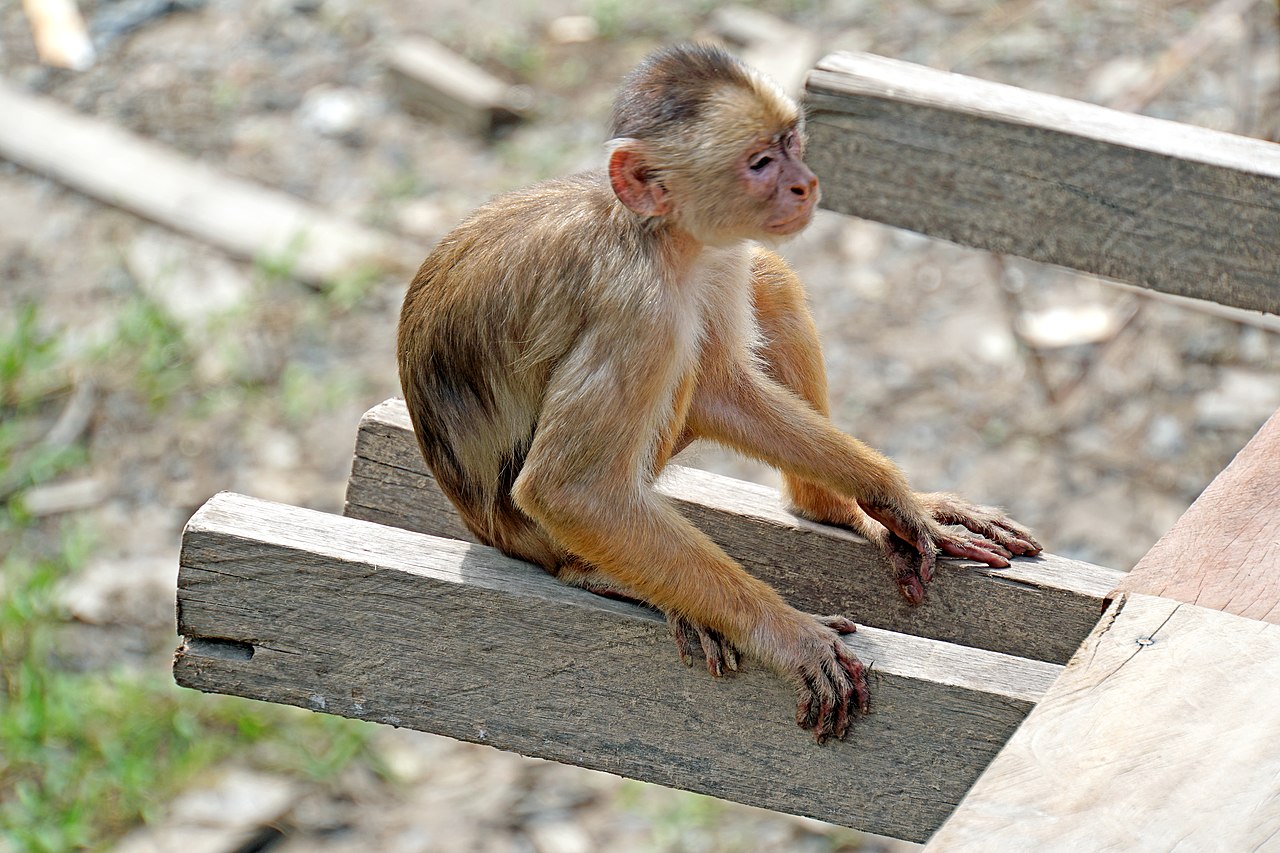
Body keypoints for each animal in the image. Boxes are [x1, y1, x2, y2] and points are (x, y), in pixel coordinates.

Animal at [397, 43, 1041, 742]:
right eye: (760, 163)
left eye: (790, 144)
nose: (803, 183)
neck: (658, 235)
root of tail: (483, 530)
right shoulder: (638, 308)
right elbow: (567, 490)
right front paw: (787, 636)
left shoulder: (714, 254)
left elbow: (722, 389)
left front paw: (892, 499)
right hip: (531, 528)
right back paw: (594, 574)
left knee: (766, 277)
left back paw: (831, 508)